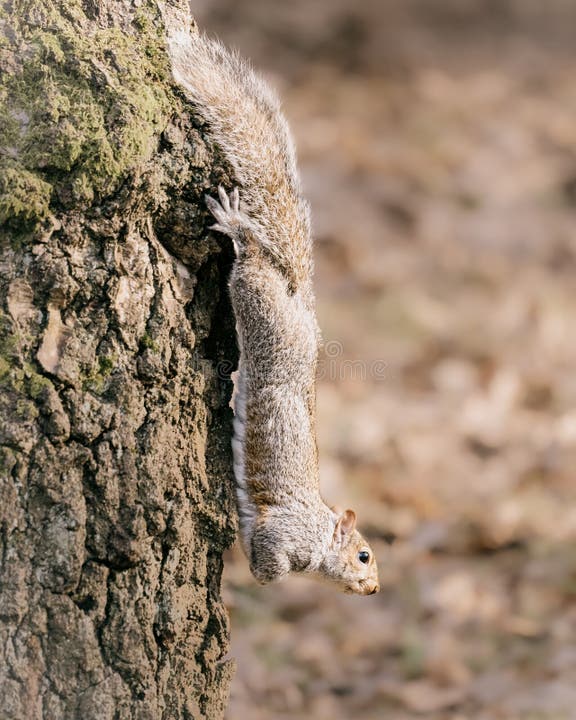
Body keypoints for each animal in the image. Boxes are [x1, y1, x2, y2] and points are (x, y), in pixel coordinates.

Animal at [167, 26, 379, 595]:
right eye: (364, 556)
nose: (375, 588)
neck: (320, 527)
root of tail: (299, 300)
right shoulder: (285, 532)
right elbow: (271, 565)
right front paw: (251, 563)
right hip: (260, 304)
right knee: (252, 261)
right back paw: (238, 225)